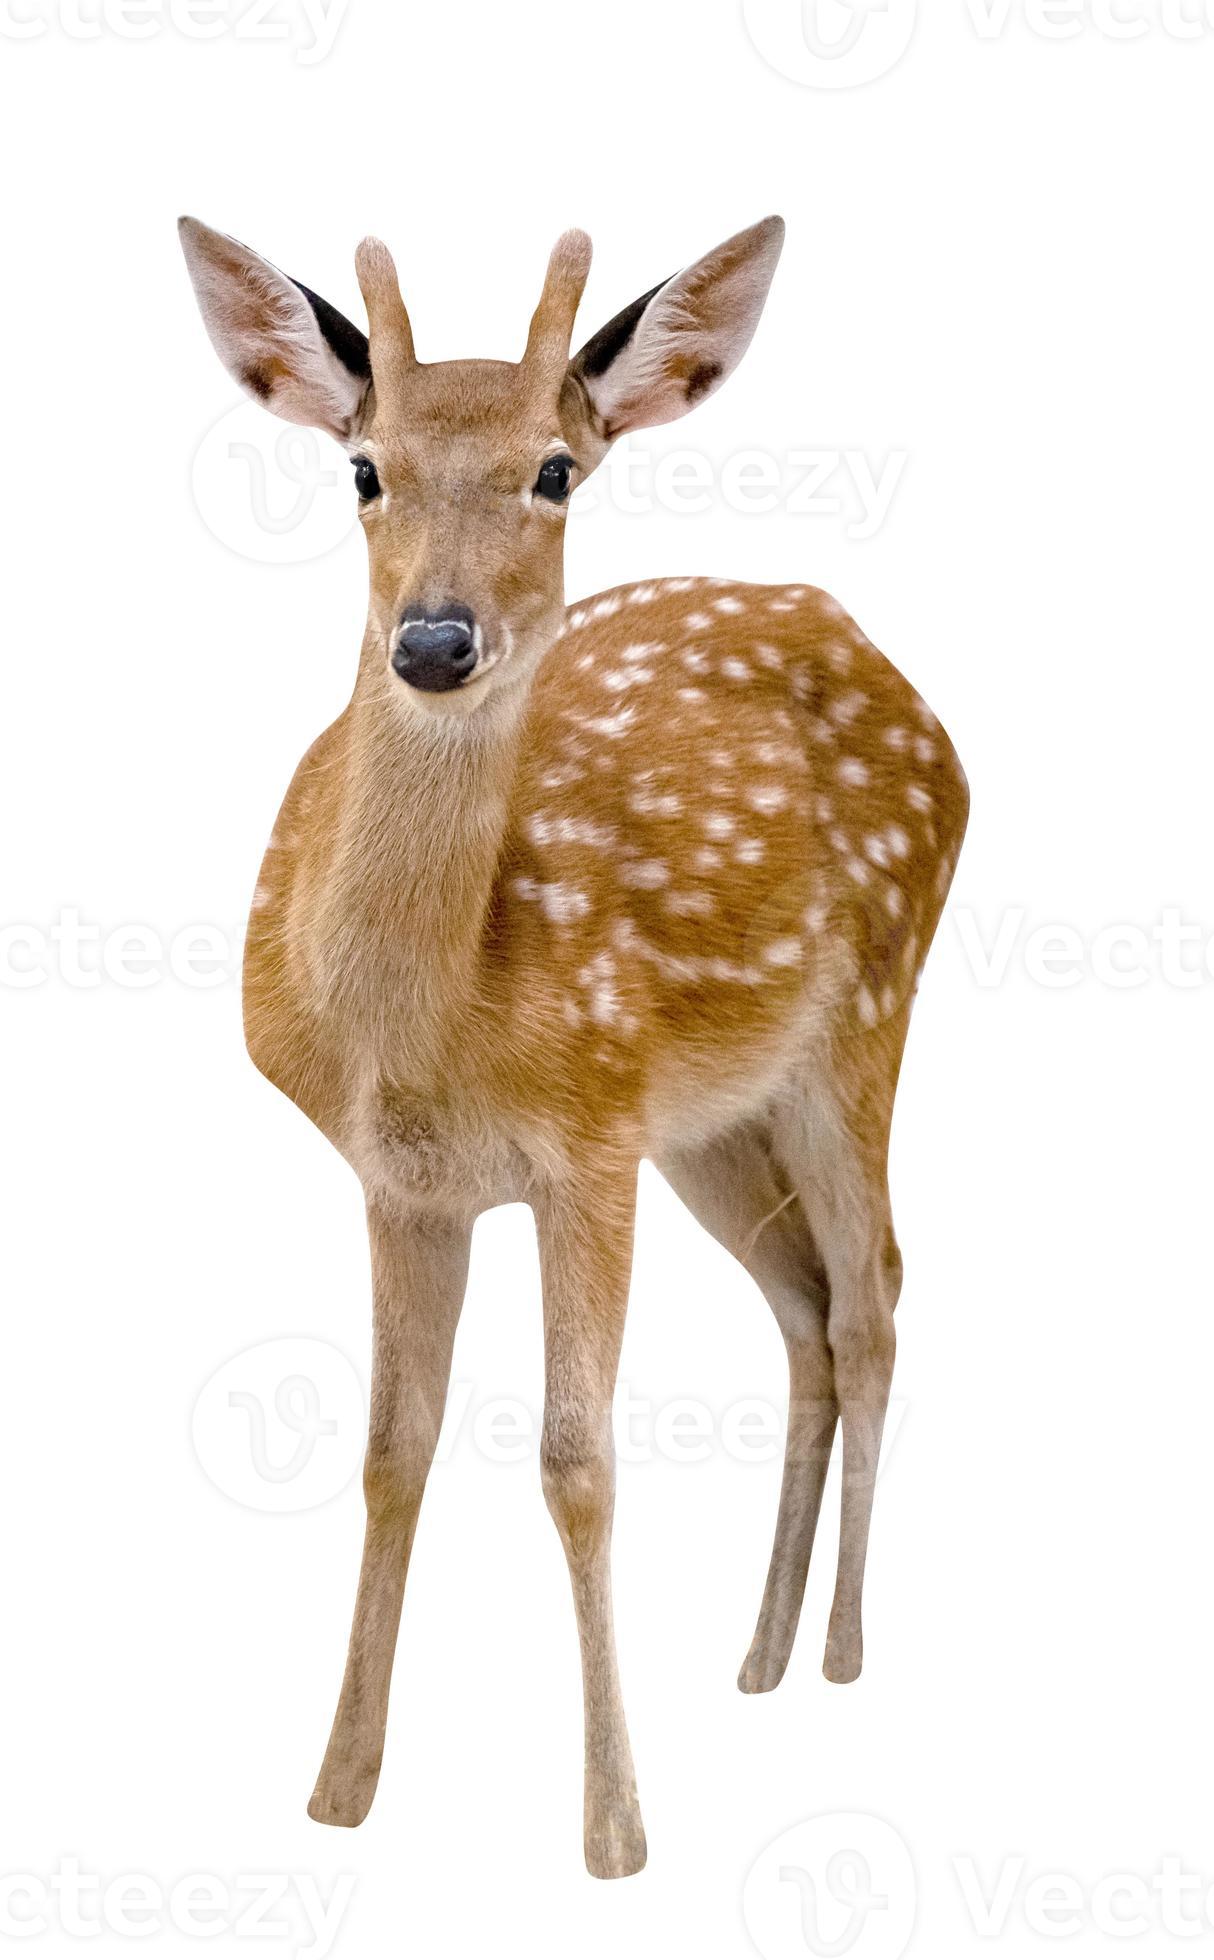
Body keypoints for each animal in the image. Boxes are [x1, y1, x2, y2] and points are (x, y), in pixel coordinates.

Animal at [178, 211, 968, 1880]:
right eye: (364, 469)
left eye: (555, 468)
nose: (433, 642)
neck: (431, 1026)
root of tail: (889, 666)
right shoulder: (405, 1183)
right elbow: (390, 1450)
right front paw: (339, 1788)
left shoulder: (586, 1140)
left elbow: (576, 1459)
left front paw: (613, 1831)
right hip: (714, 1127)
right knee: (803, 1311)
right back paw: (756, 1653)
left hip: (861, 1020)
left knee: (874, 1295)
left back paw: (842, 1652)